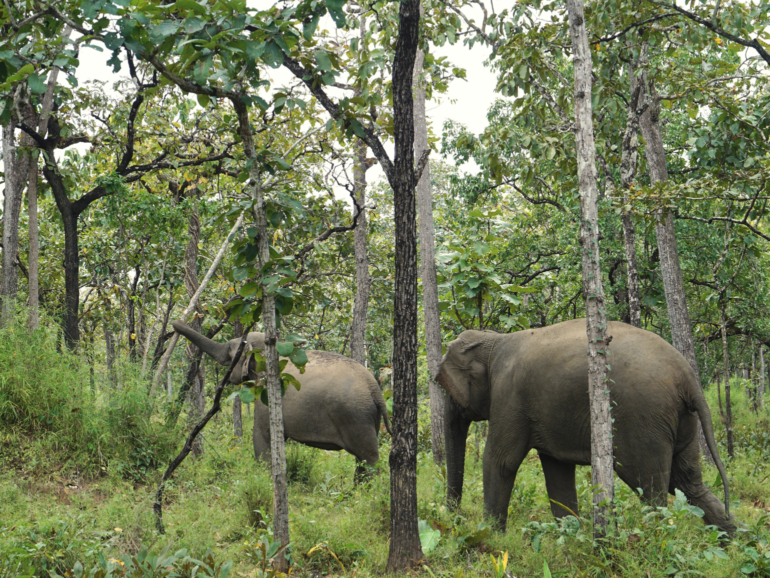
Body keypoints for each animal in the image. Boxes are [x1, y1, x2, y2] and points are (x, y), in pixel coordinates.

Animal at [173, 321, 391, 479]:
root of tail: (375, 389)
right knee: (362, 459)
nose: (176, 323)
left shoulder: (266, 397)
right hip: (369, 418)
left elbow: (261, 436)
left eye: (229, 350)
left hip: (355, 415)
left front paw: (263, 479)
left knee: (369, 458)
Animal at [436, 319, 735, 535]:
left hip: (644, 419)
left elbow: (500, 461)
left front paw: (491, 539)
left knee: (652, 488)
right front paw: (570, 537)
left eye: (446, 386)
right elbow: (557, 474)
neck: (494, 340)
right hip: (681, 420)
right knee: (687, 483)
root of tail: (688, 377)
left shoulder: (509, 397)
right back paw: (734, 541)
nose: (453, 518)